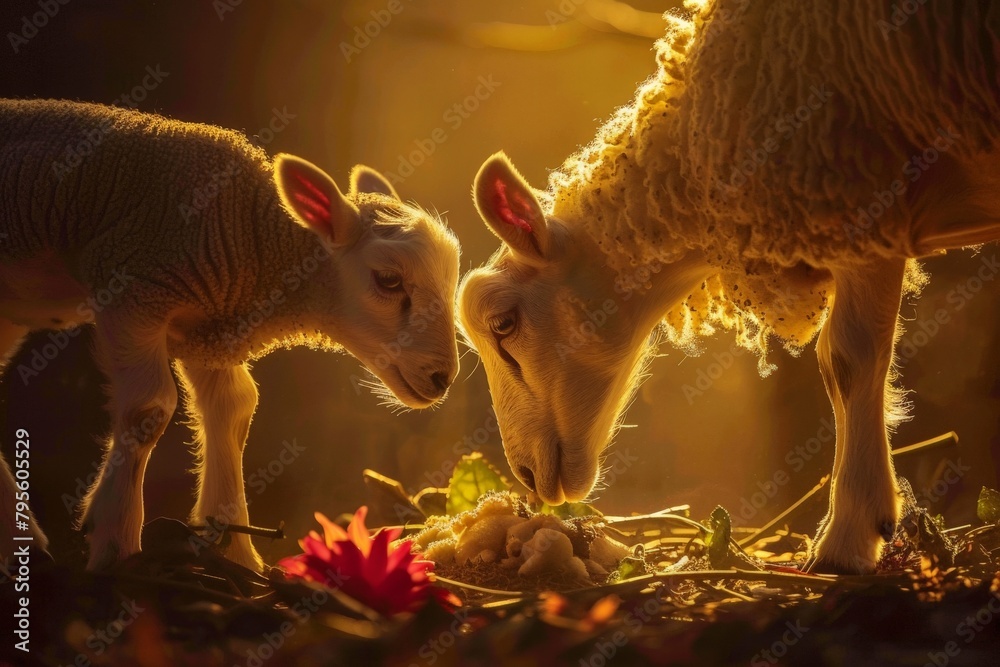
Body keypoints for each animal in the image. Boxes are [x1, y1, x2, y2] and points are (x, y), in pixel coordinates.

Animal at [0, 98, 461, 571]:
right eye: (388, 280)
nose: (443, 378)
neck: (246, 235)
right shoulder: (134, 286)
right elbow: (149, 410)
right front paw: (116, 542)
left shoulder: (211, 326)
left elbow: (234, 411)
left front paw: (238, 552)